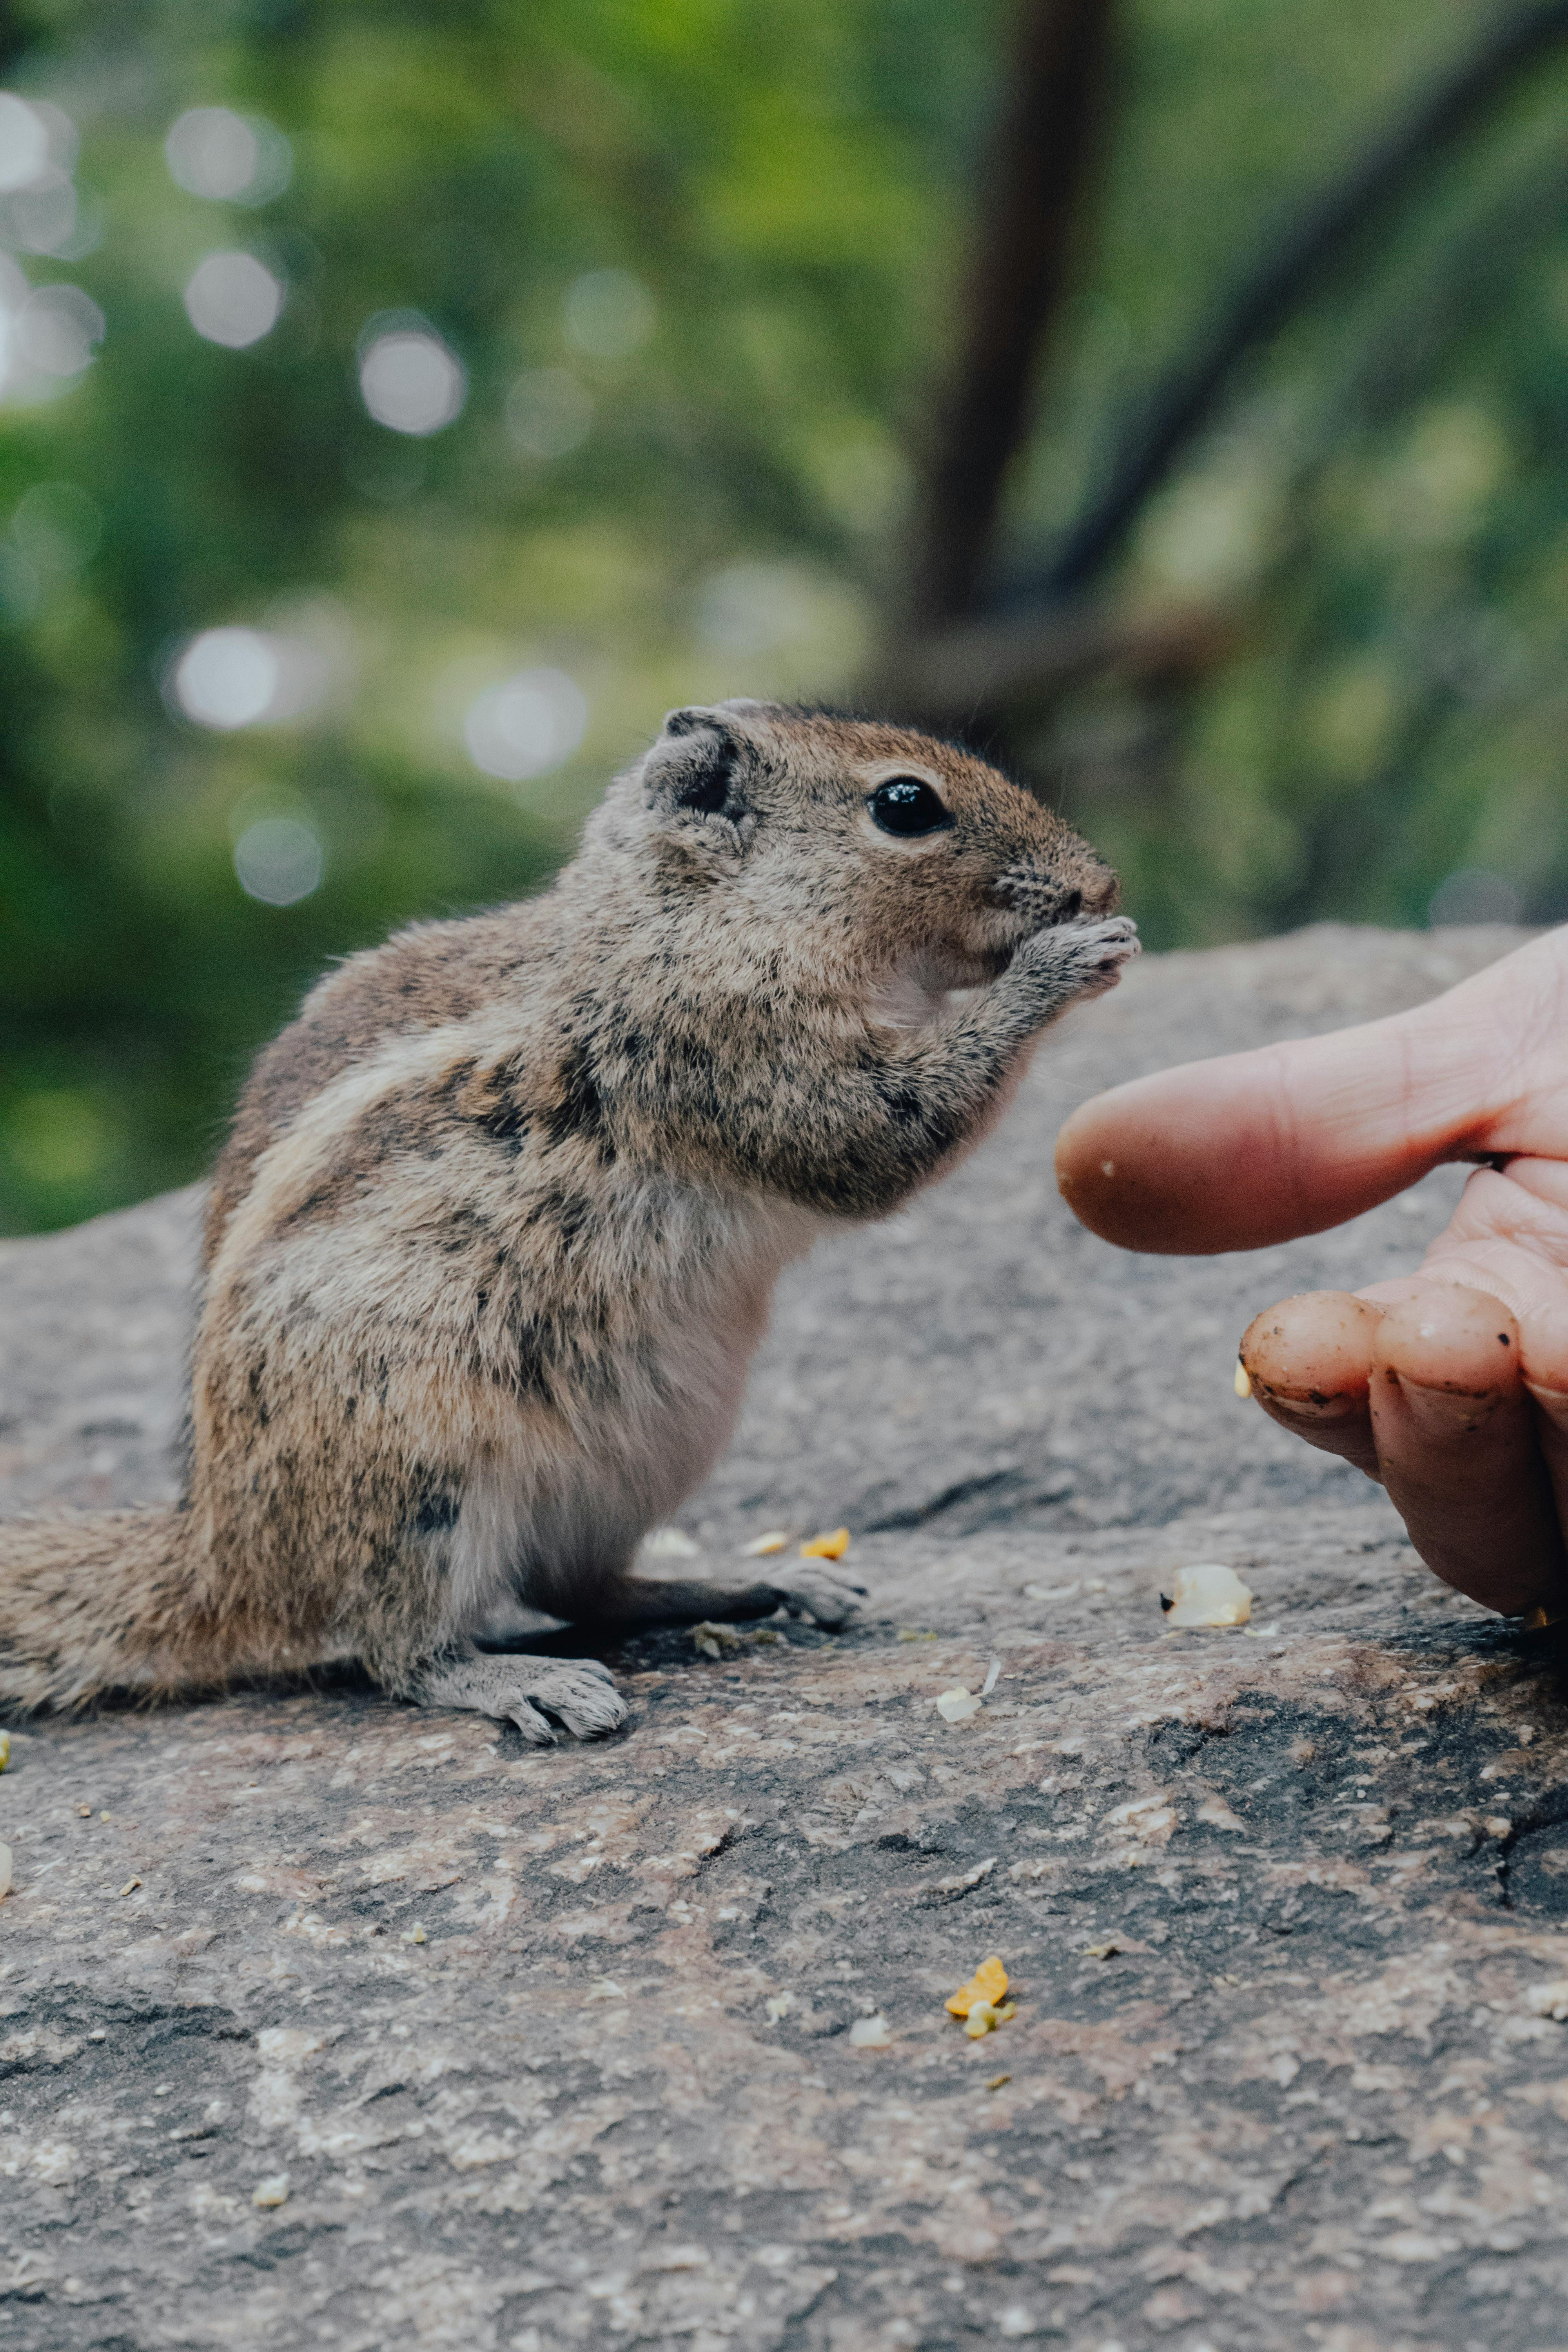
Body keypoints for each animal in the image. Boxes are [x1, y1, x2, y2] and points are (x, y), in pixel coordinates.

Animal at [0, 701, 1135, 1743]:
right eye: (905, 804)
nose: (1101, 884)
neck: (687, 920)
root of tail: (218, 1552)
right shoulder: (743, 1059)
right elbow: (889, 1132)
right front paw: (1063, 964)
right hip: (422, 1475)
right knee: (397, 1646)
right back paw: (519, 1682)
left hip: (649, 1454)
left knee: (580, 1590)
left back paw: (758, 1586)